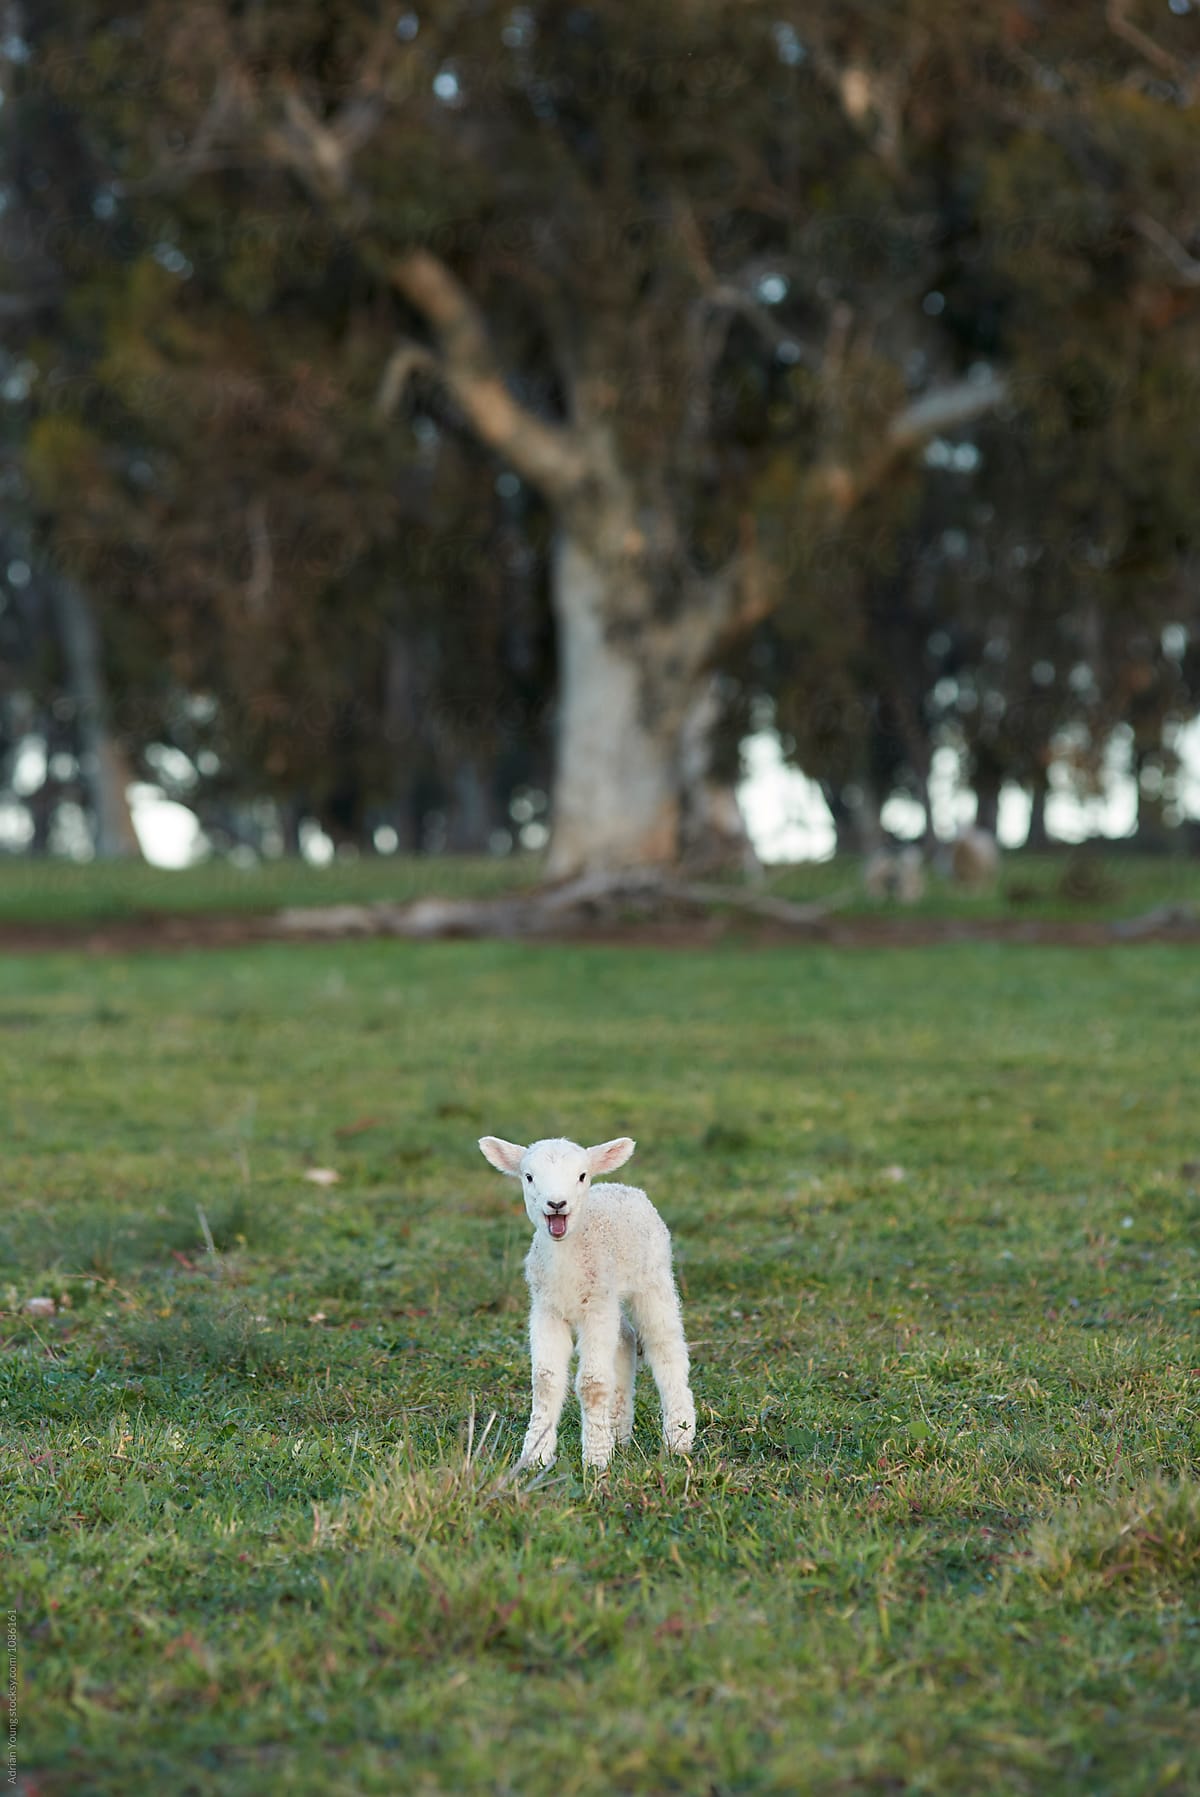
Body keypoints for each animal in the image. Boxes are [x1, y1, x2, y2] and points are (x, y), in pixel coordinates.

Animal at [478, 1133, 697, 1470]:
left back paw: (679, 1439)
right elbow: (545, 1381)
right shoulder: (546, 1308)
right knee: (625, 1338)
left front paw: (595, 1460)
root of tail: (625, 1187)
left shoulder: (596, 1307)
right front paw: (535, 1458)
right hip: (612, 1297)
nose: (556, 1204)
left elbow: (592, 1384)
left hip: (652, 1278)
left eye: (581, 1176)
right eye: (529, 1177)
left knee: (665, 1346)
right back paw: (619, 1433)